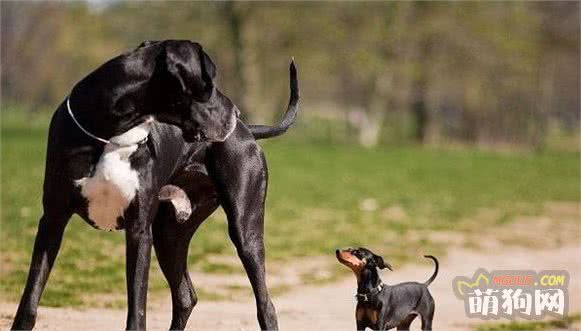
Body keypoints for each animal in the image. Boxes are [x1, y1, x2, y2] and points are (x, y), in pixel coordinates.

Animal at [12, 40, 300, 330]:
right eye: (210, 80)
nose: (236, 111)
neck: (110, 135)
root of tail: (248, 130)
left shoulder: (139, 230)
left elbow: (137, 308)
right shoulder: (52, 220)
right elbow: (31, 296)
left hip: (244, 231)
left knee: (265, 304)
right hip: (169, 234)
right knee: (185, 296)